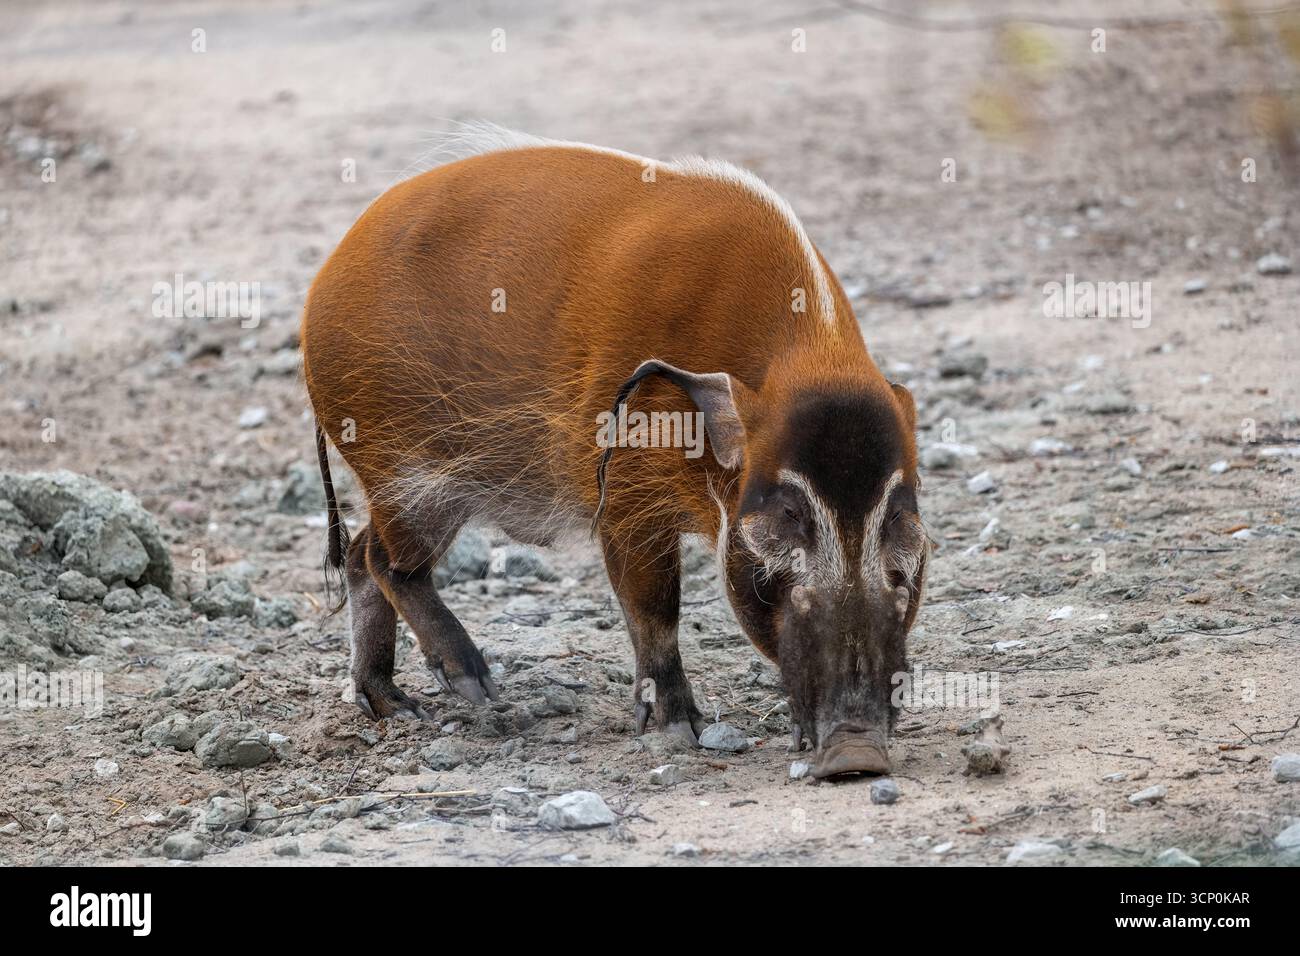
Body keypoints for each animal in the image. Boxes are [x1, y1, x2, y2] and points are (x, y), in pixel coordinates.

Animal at [301, 126, 927, 778]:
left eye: (901, 521)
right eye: (788, 513)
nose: (857, 754)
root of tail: (323, 280)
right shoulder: (628, 495)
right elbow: (654, 607)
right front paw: (679, 730)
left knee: (359, 554)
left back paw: (392, 704)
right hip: (407, 475)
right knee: (385, 562)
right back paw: (472, 686)